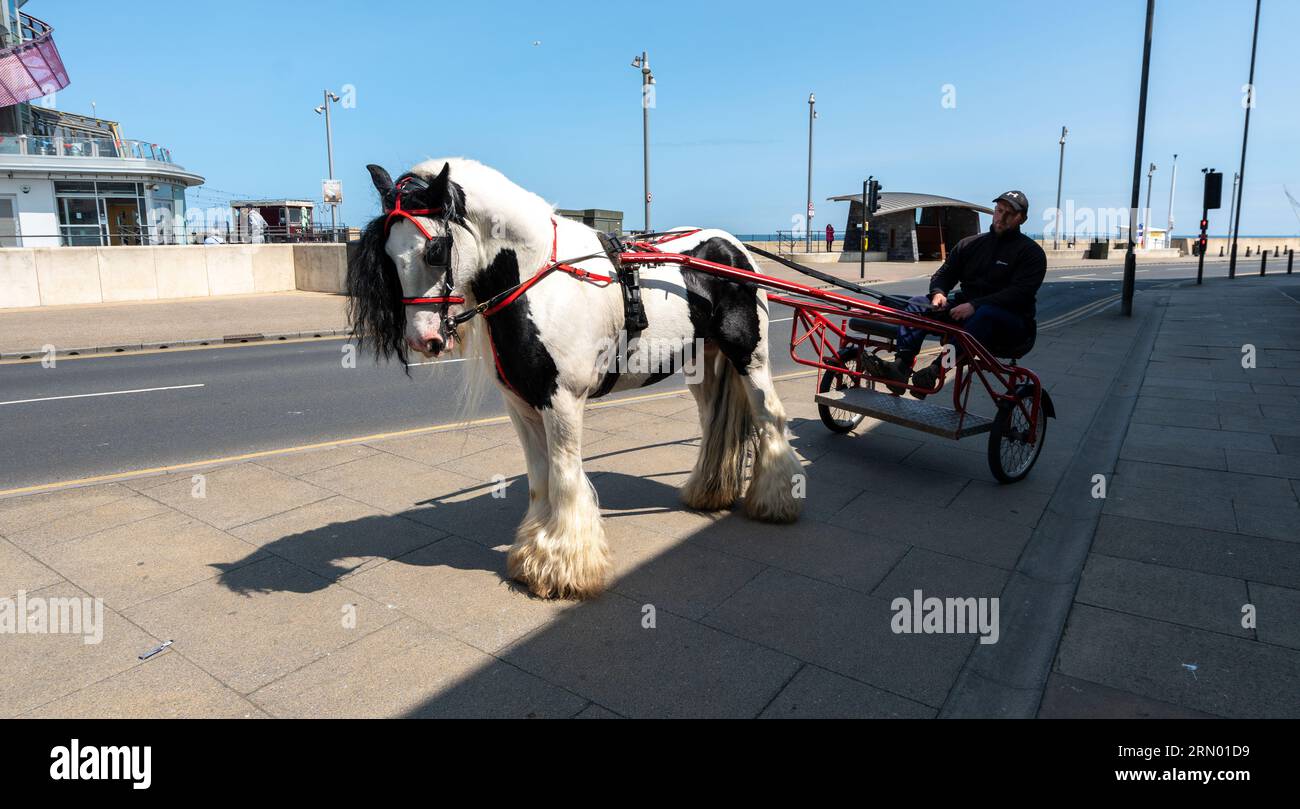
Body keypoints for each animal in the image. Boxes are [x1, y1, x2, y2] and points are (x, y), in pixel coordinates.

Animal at [346, 157, 803, 599]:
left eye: (436, 250)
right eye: (387, 253)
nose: (423, 339)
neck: (539, 280)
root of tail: (734, 246)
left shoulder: (562, 400)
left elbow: (565, 476)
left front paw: (566, 569)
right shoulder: (521, 404)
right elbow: (539, 478)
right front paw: (532, 558)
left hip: (749, 357)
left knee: (770, 417)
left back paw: (774, 501)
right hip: (704, 364)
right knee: (713, 425)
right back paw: (708, 492)